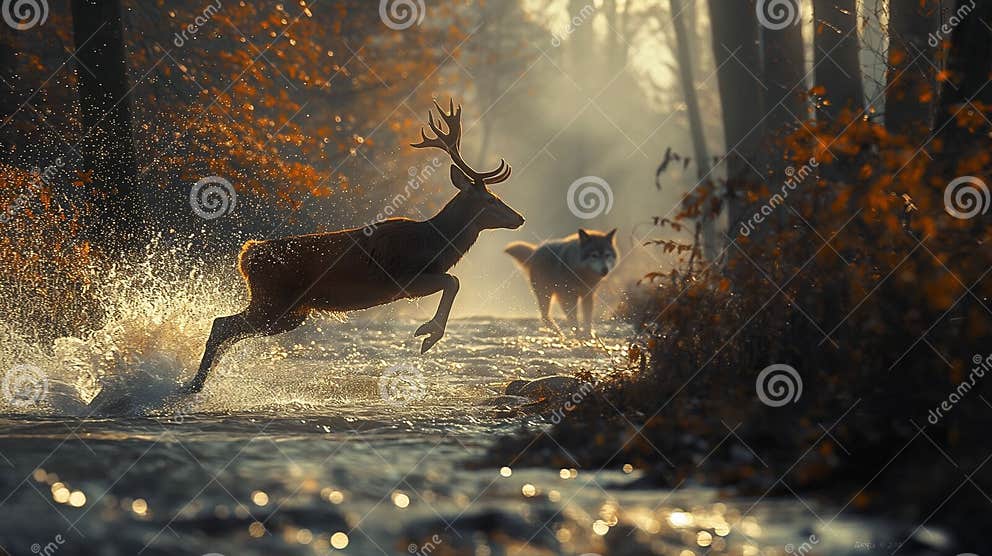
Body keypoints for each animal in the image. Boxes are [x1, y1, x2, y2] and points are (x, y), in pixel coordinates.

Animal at [184, 99, 524, 393]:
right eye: (491, 200)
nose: (519, 217)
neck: (434, 243)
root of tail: (247, 254)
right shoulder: (405, 278)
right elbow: (453, 281)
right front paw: (428, 334)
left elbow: (453, 281)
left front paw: (428, 333)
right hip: (275, 299)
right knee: (221, 325)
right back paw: (194, 385)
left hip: (291, 311)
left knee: (230, 331)